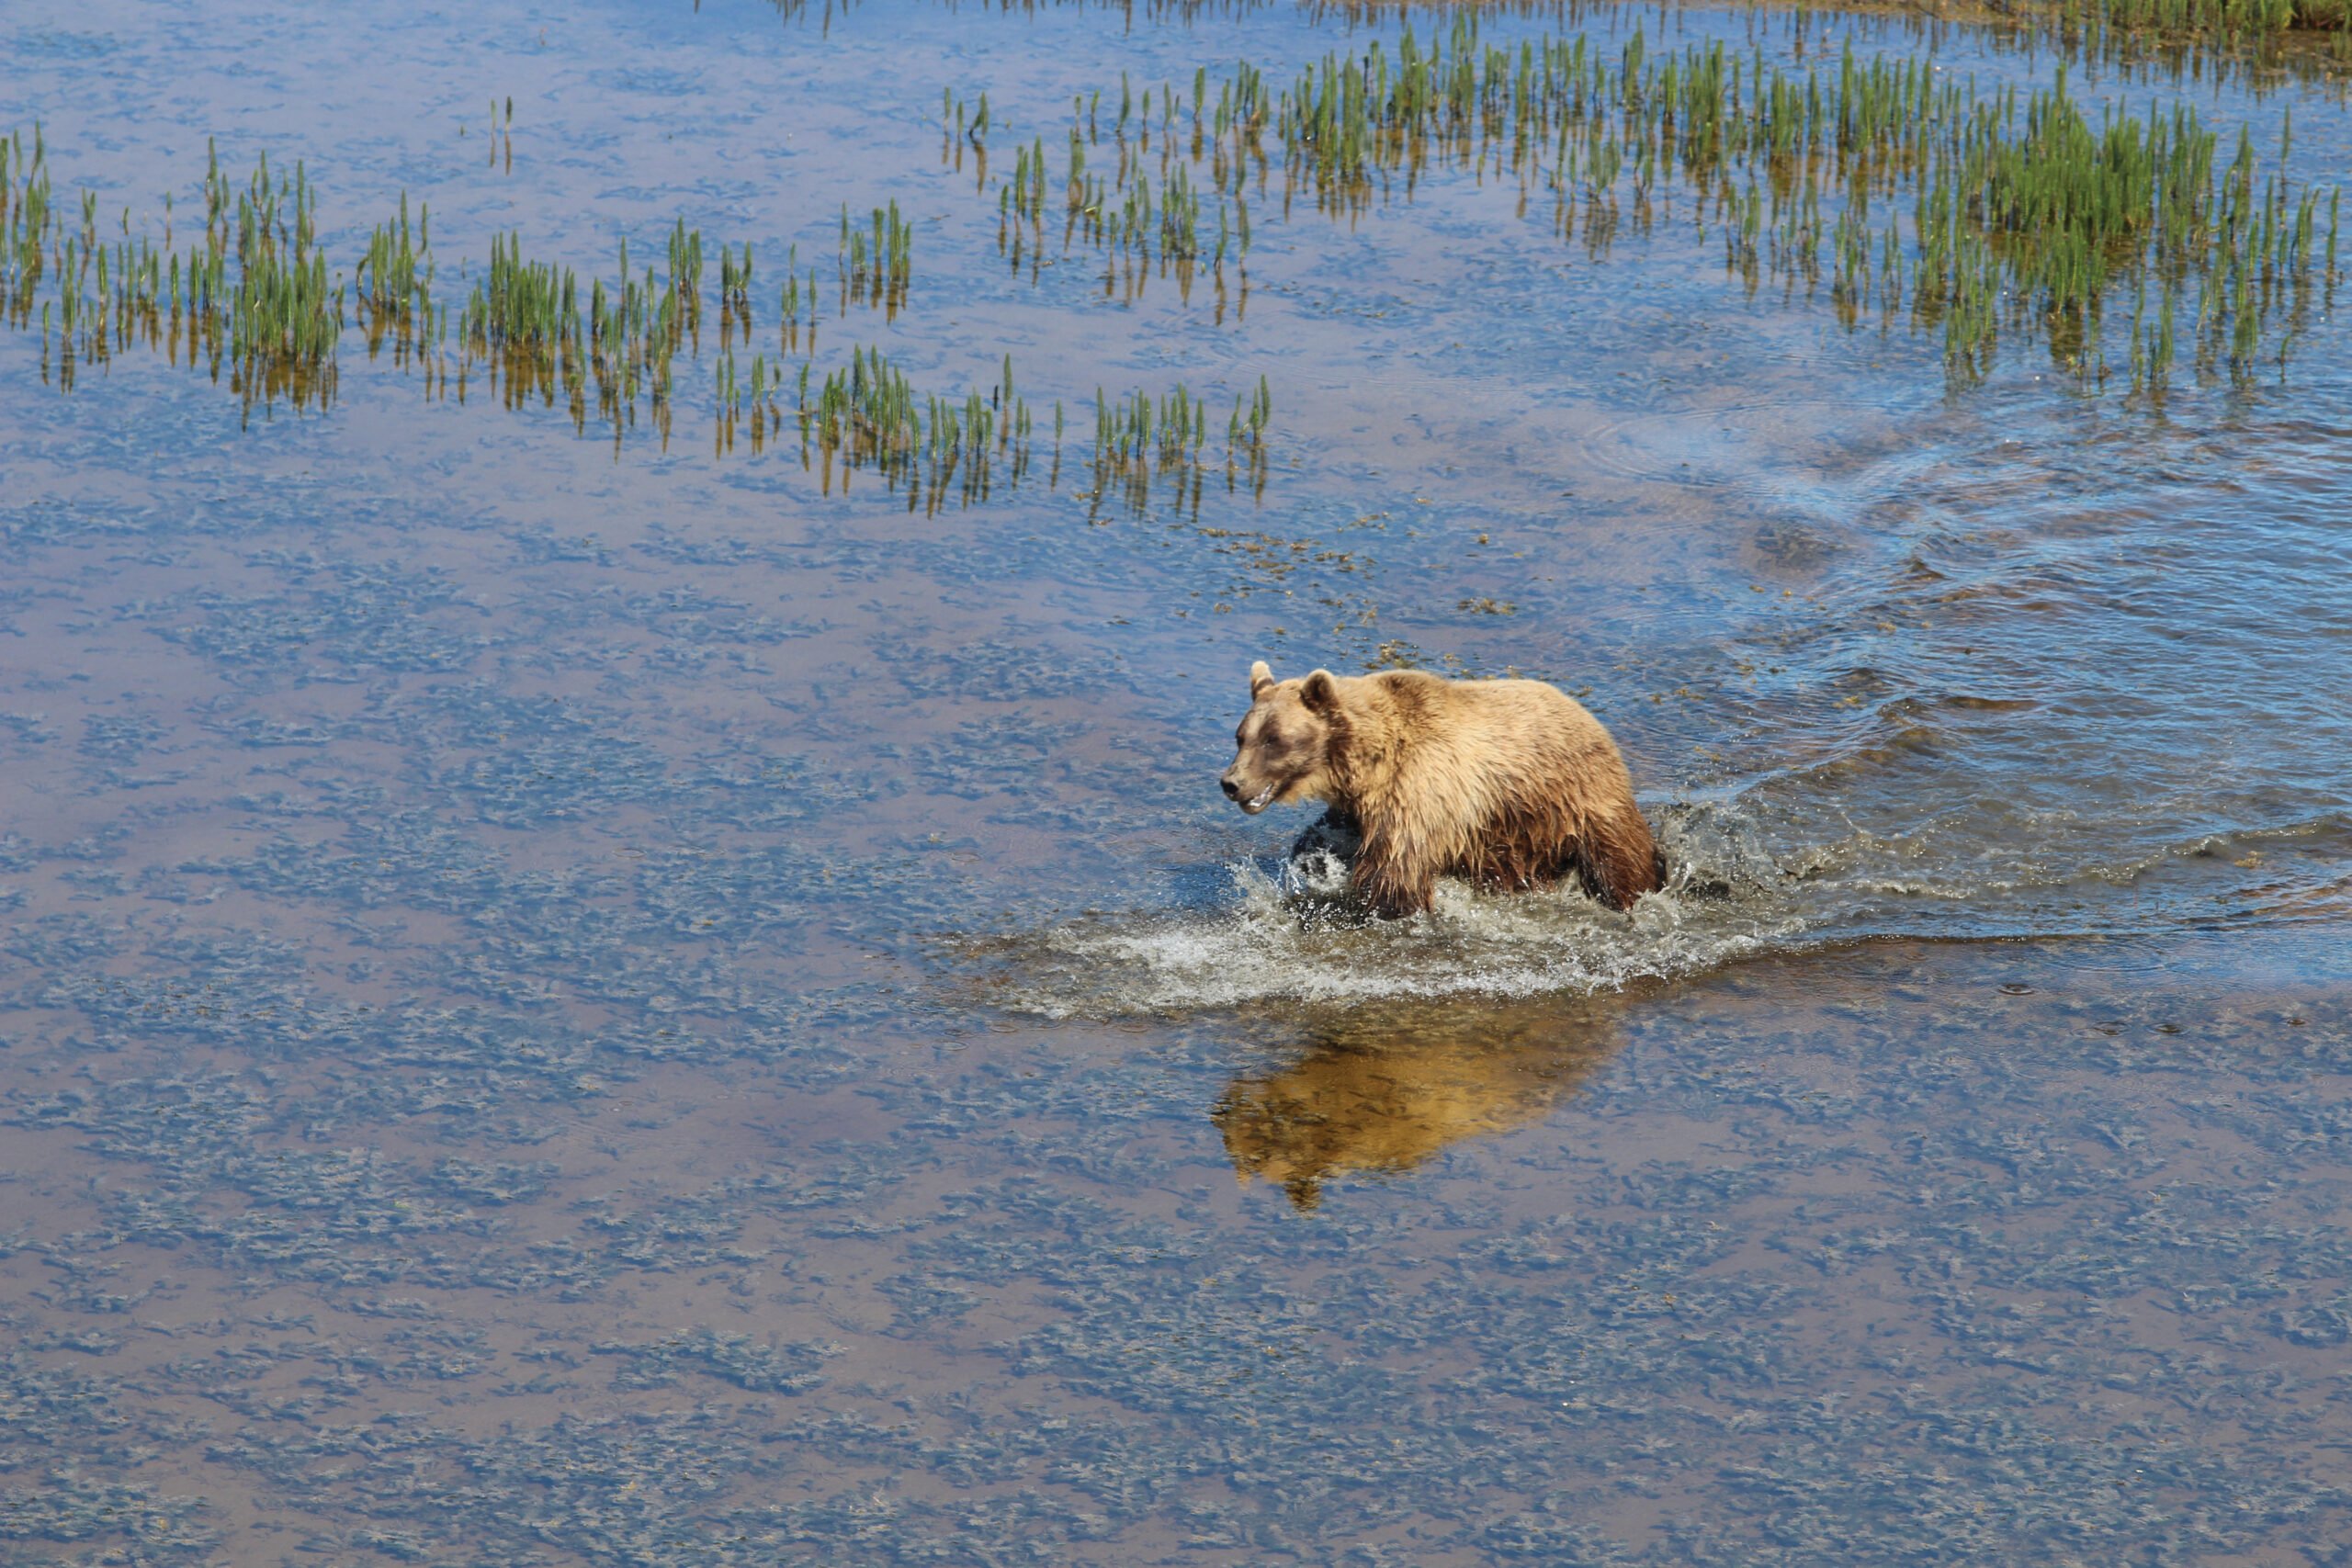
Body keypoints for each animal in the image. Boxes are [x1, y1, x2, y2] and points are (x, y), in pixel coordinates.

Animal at [1218, 659, 1662, 918]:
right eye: (1242, 736)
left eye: (1273, 739)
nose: (1231, 783)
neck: (1369, 760)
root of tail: (1589, 717)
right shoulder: (1362, 804)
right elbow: (1327, 836)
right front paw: (1310, 867)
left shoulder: (1420, 789)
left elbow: (1394, 872)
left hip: (1575, 800)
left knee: (1619, 862)